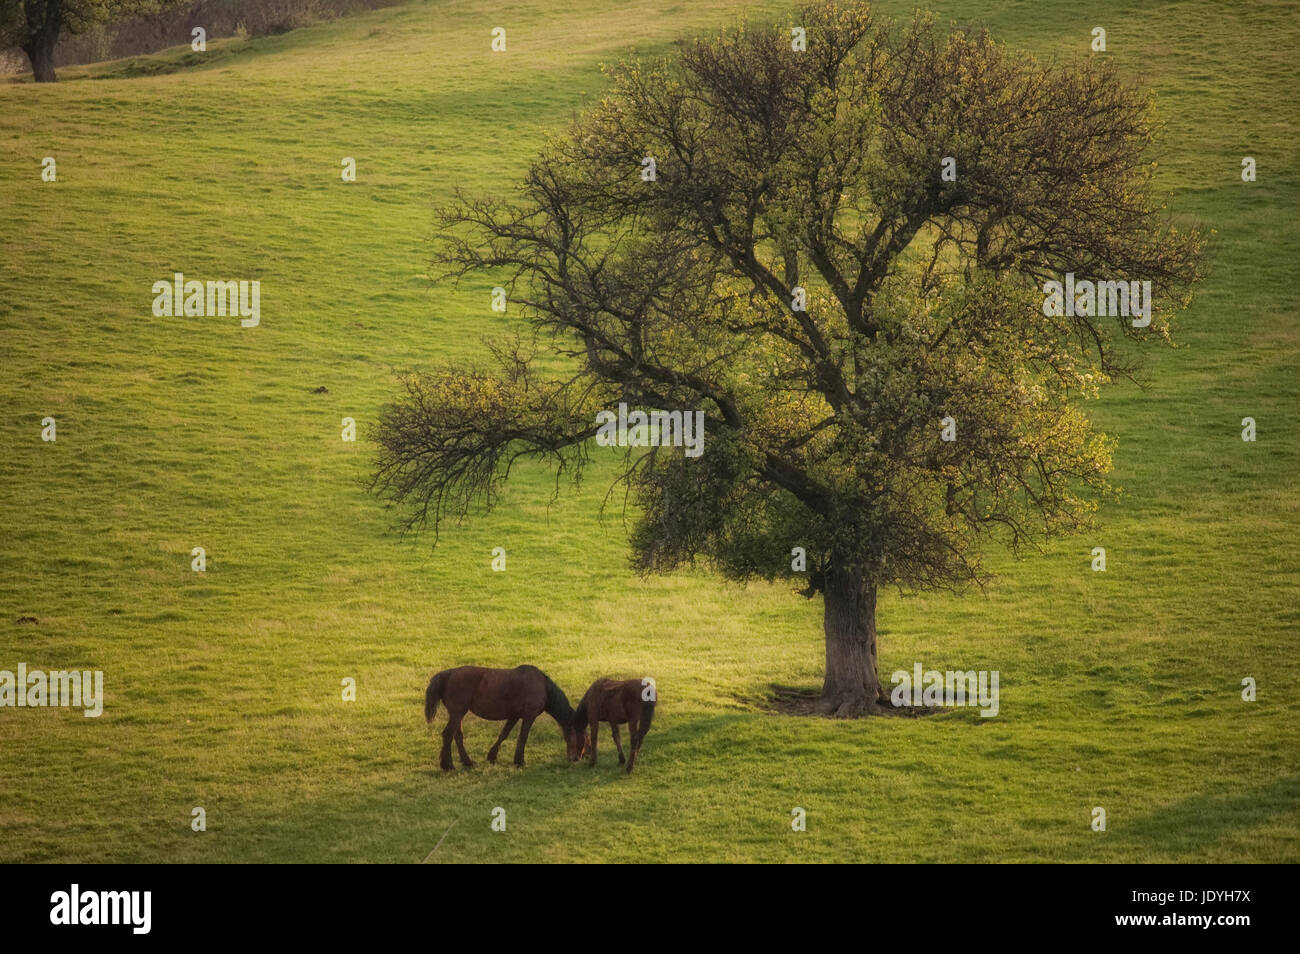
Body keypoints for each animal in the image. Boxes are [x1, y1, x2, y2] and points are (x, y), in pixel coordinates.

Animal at [424, 665, 581, 770]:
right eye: (578, 735)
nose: (575, 758)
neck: (543, 686)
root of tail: (448, 674)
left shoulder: (514, 716)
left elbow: (503, 734)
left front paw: (492, 756)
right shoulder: (529, 716)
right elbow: (523, 737)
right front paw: (520, 762)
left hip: (458, 714)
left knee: (457, 736)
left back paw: (467, 762)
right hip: (457, 713)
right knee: (448, 735)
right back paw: (448, 765)